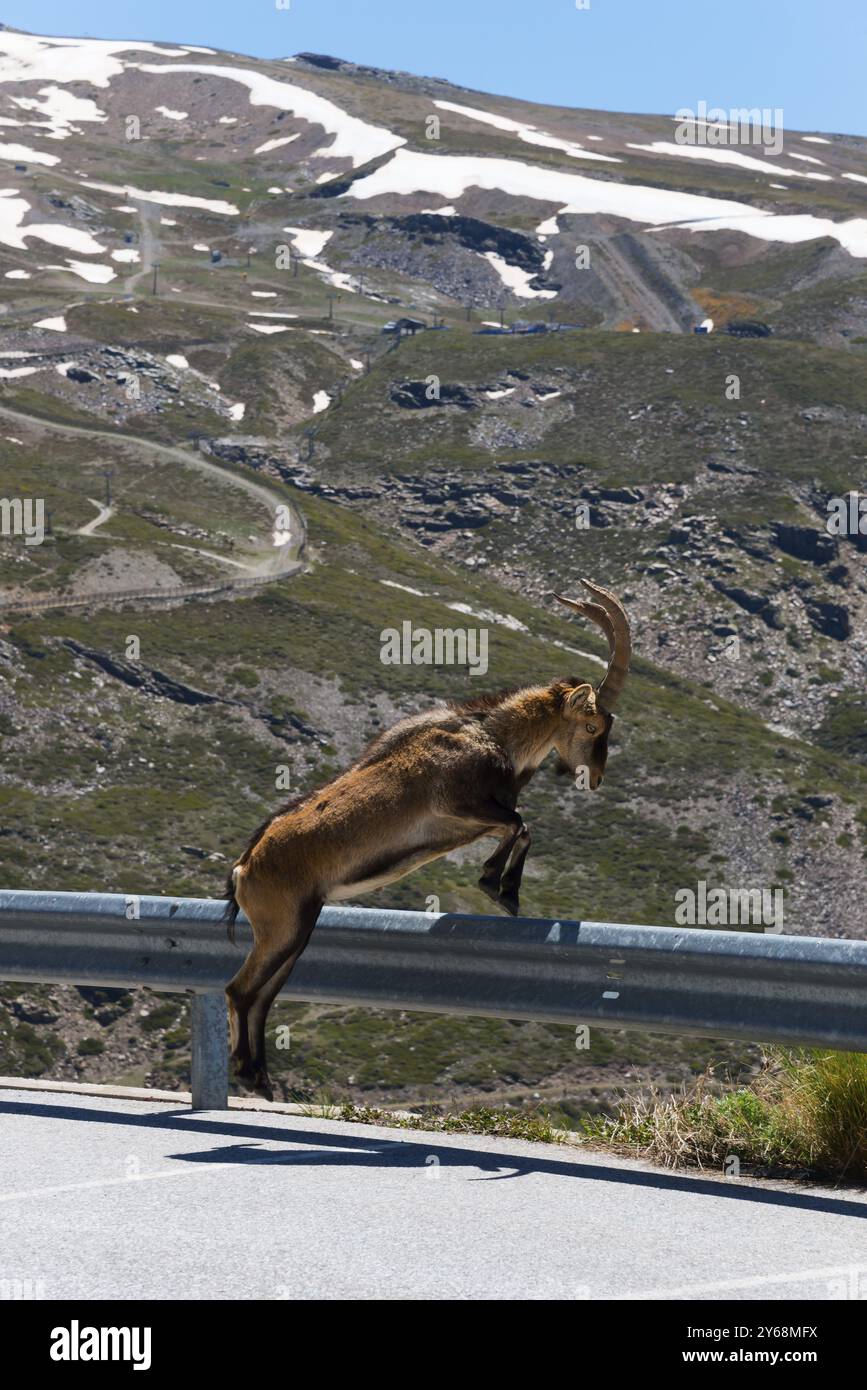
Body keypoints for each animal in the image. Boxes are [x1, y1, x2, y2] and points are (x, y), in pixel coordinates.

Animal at [223, 579, 631, 1098]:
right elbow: (521, 823)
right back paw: (249, 1076)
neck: (493, 737)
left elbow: (516, 824)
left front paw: (500, 885)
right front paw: (500, 889)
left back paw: (260, 1078)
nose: (595, 777)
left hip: (295, 929)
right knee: (242, 990)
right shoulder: (454, 804)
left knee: (263, 993)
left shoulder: (467, 822)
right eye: (593, 725)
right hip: (282, 925)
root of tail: (244, 868)